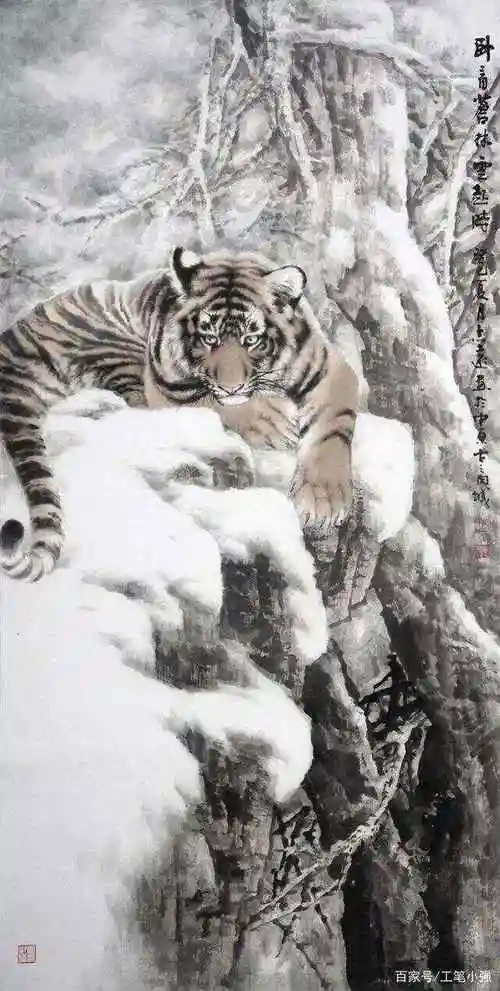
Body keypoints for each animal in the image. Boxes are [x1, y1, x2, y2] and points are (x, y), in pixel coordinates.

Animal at [0, 247, 359, 581]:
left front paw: (323, 500)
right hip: (119, 351)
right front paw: (269, 420)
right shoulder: (166, 383)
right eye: (208, 337)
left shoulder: (331, 370)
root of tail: (12, 340)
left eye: (251, 338)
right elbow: (212, 403)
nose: (231, 386)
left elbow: (333, 433)